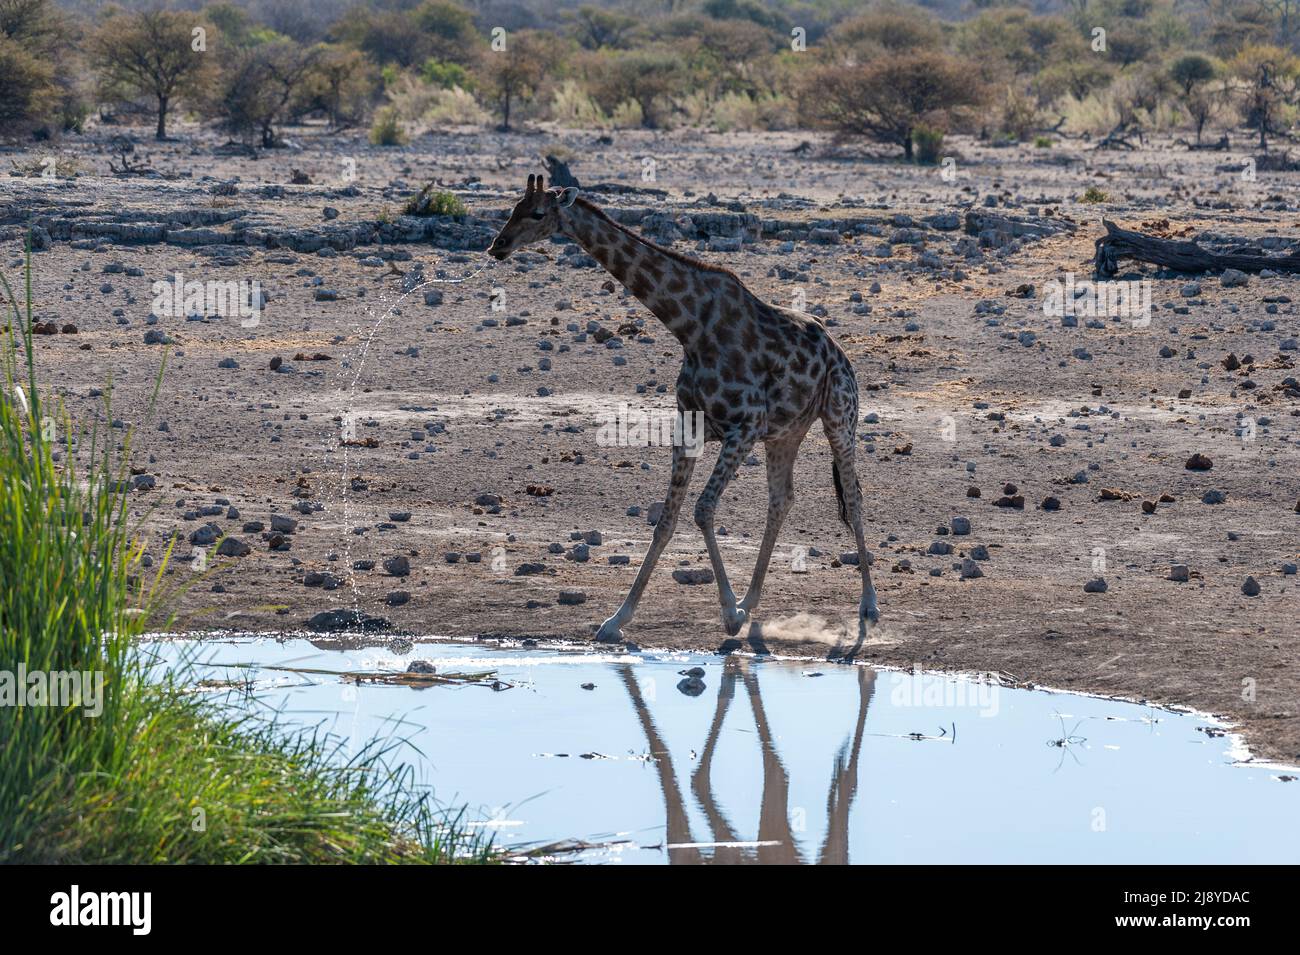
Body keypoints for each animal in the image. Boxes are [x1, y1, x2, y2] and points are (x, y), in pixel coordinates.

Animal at [487, 174, 878, 643]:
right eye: (512, 207)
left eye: (537, 213)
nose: (498, 245)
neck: (689, 326)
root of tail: (839, 352)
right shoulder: (691, 426)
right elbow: (667, 519)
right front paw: (617, 620)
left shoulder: (743, 427)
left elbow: (703, 509)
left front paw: (728, 614)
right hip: (786, 433)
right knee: (782, 499)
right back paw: (752, 601)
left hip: (839, 417)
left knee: (853, 497)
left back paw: (868, 607)